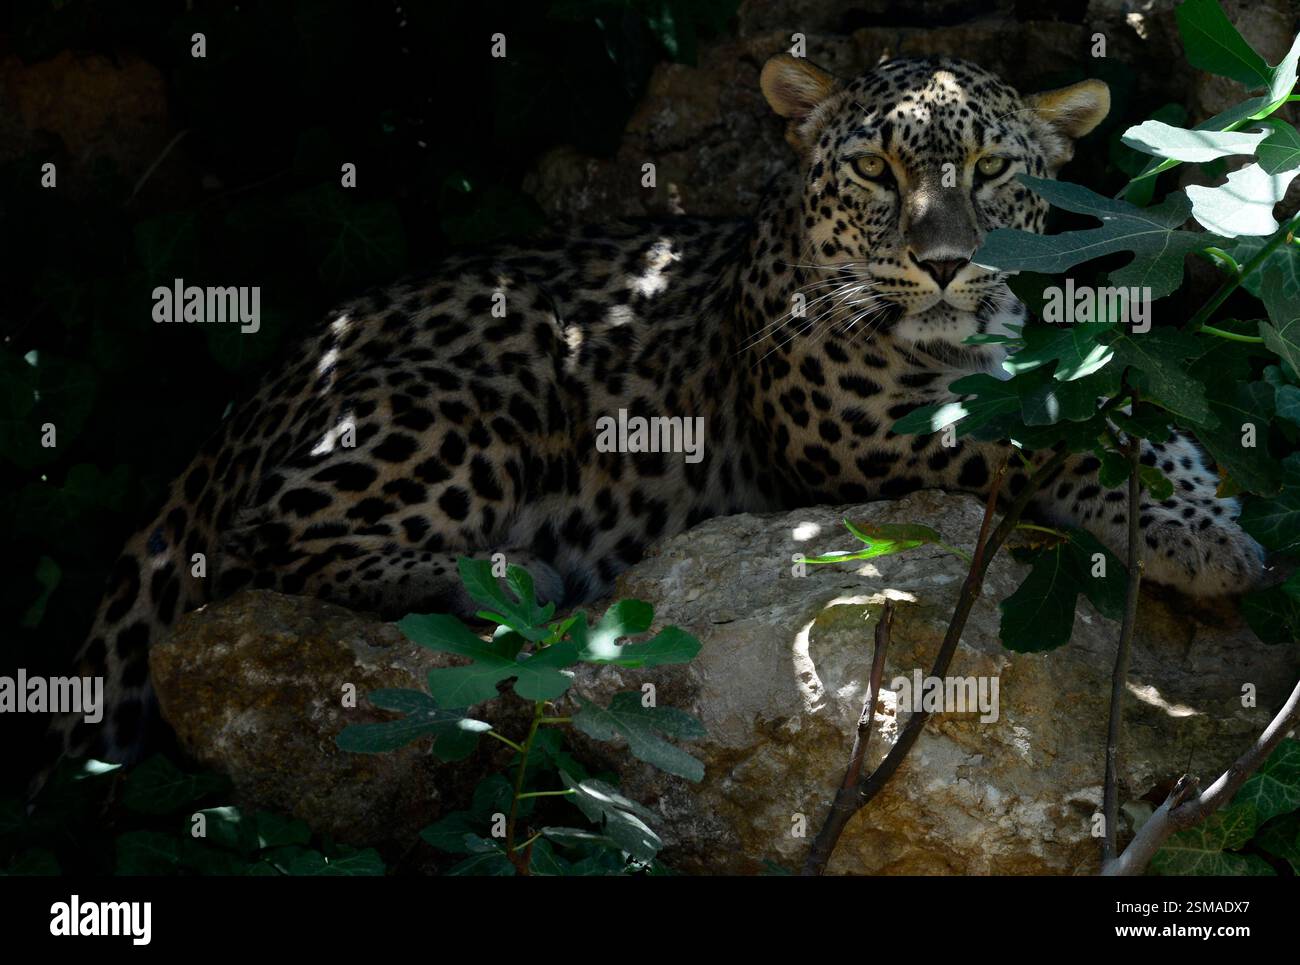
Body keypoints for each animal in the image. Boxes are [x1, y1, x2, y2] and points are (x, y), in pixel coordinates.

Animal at [45, 53, 1265, 773]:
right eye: (876, 170)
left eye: (991, 168)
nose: (945, 263)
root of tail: (241, 408)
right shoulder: (860, 435)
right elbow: (1057, 442)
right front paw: (1186, 531)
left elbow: (1134, 421)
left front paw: (1211, 517)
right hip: (488, 391)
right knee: (262, 549)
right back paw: (498, 581)